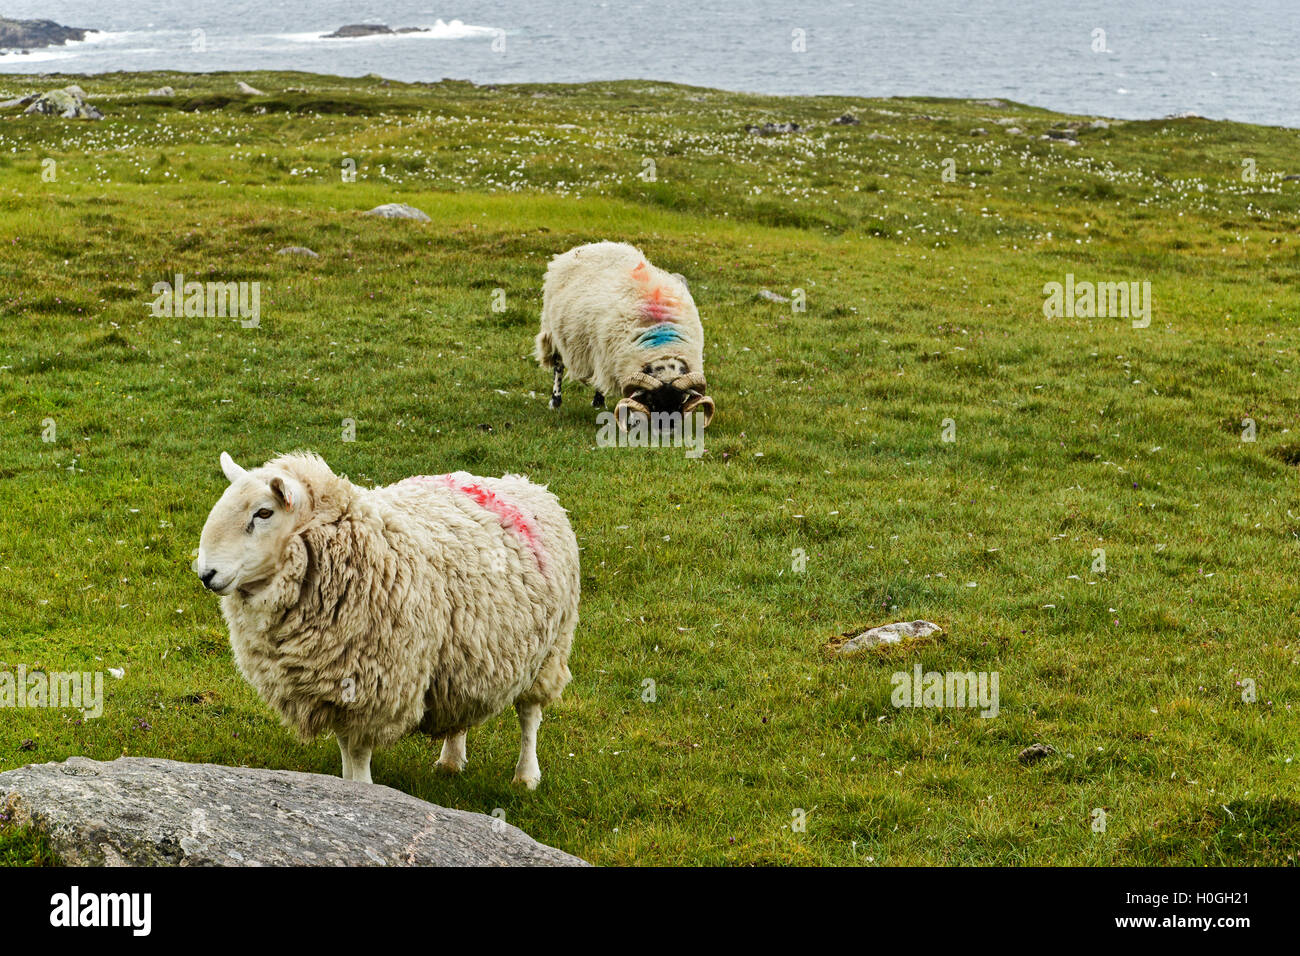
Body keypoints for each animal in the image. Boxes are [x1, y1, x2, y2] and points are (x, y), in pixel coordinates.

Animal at [195, 451, 580, 789]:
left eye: (263, 513)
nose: (205, 574)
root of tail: (523, 483)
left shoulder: (373, 684)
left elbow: (358, 750)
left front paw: (364, 790)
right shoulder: (333, 684)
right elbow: (344, 746)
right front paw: (345, 784)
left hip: (550, 649)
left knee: (529, 715)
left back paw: (526, 777)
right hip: (466, 653)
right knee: (461, 709)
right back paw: (451, 761)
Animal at [535, 241, 715, 430]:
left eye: (681, 400)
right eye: (652, 401)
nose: (667, 429)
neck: (661, 344)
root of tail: (591, 245)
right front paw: (633, 421)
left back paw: (598, 402)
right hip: (556, 332)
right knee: (558, 365)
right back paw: (556, 401)